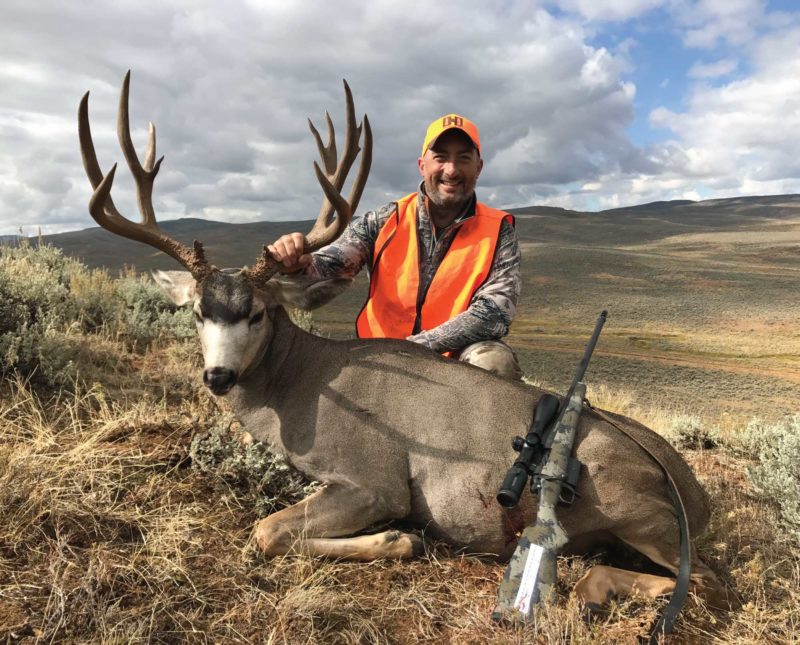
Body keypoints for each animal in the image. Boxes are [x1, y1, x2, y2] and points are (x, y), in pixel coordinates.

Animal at [78, 72, 732, 612]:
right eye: (197, 313)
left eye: (258, 313)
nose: (218, 377)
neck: (303, 388)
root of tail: (693, 497)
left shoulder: (374, 479)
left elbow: (269, 531)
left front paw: (398, 539)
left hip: (636, 511)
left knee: (708, 581)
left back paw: (591, 589)